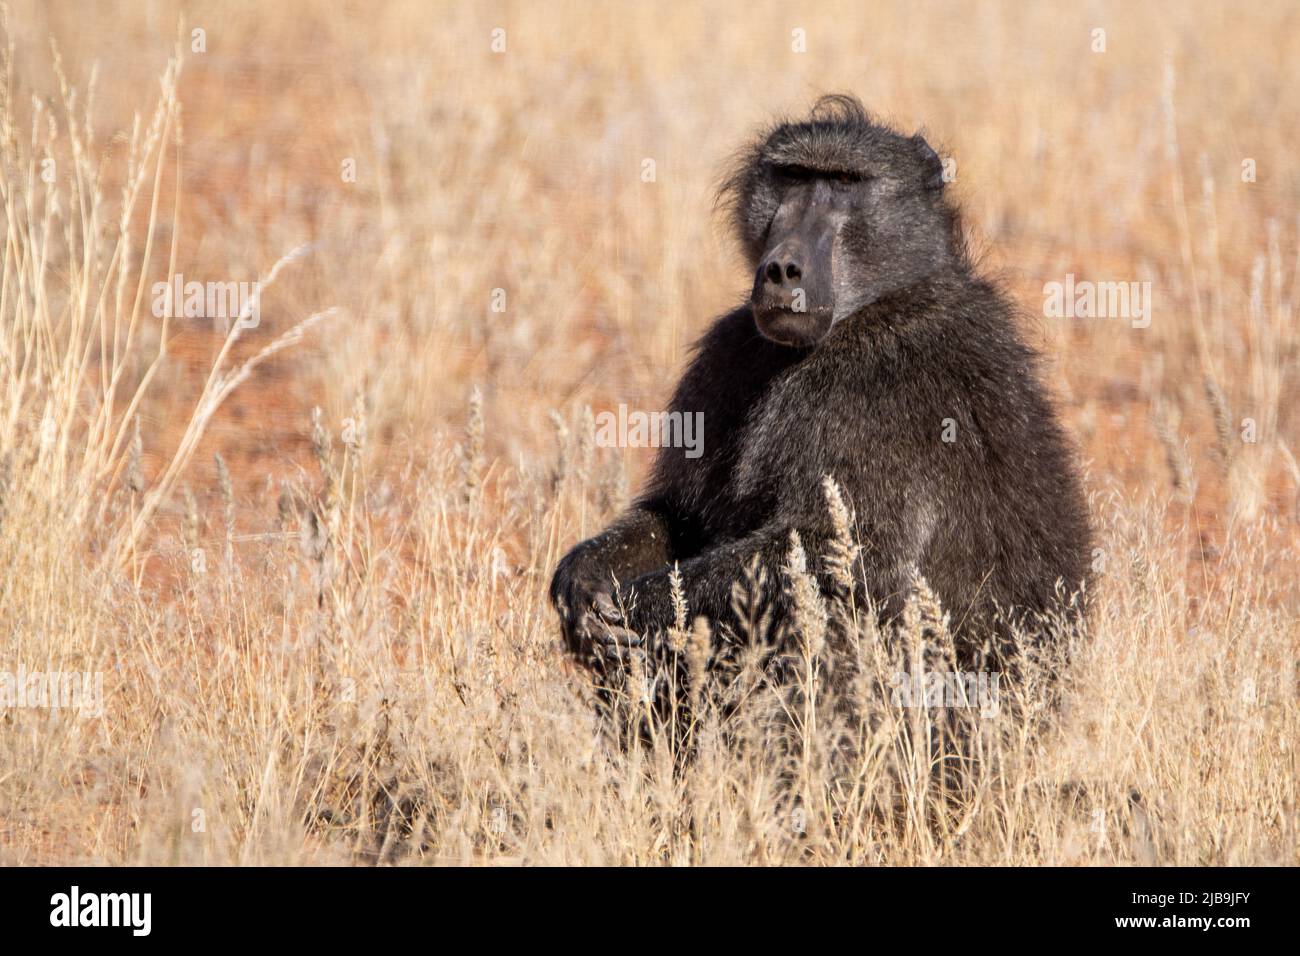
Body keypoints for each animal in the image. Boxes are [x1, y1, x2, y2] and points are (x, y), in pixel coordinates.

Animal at [550, 94, 1091, 677]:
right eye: (793, 176)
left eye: (845, 182)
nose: (784, 268)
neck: (875, 303)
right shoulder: (728, 349)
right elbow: (680, 517)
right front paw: (584, 578)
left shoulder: (879, 388)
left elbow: (836, 551)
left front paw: (634, 605)